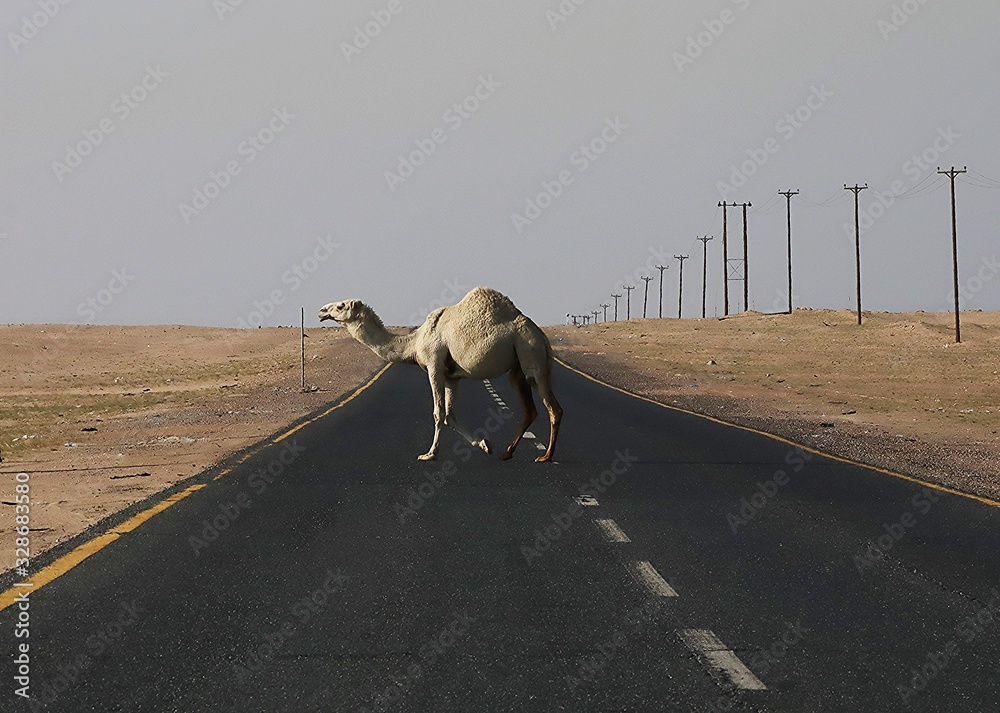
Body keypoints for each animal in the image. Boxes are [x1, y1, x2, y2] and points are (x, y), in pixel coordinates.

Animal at [318, 287, 562, 462]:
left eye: (340, 306)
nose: (321, 310)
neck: (414, 343)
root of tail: (541, 336)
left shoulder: (434, 366)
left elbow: (438, 413)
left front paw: (429, 454)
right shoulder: (452, 376)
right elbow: (450, 415)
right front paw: (484, 445)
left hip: (531, 354)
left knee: (553, 407)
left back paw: (546, 457)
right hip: (519, 367)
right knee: (529, 409)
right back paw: (507, 452)